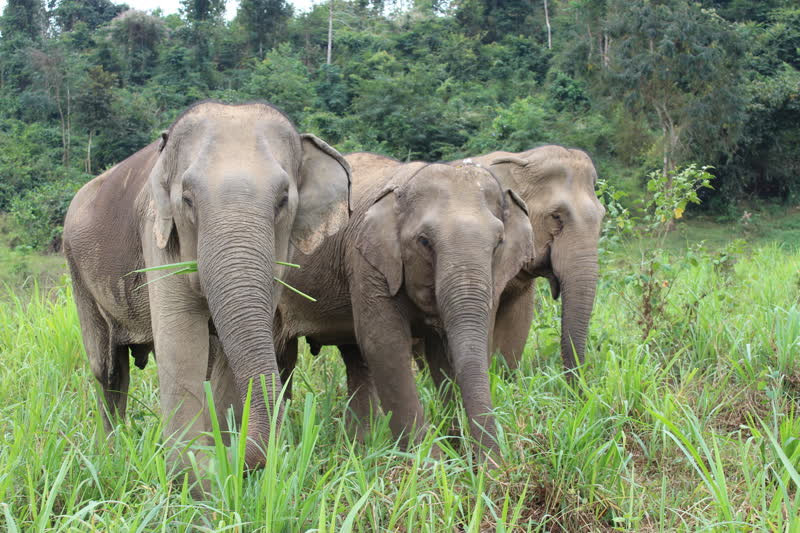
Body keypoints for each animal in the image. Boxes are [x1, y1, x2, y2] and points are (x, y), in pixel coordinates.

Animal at [62, 100, 351, 472]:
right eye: (187, 199)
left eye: (284, 200)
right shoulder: (156, 234)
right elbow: (183, 344)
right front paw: (192, 471)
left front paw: (223, 458)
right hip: (77, 270)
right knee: (108, 371)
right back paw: (110, 455)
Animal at [273, 152, 534, 458]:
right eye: (424, 241)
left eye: (499, 243)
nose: (493, 466)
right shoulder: (368, 262)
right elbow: (385, 343)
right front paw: (429, 462)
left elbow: (443, 353)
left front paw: (454, 448)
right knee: (284, 354)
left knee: (354, 356)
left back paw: (359, 447)